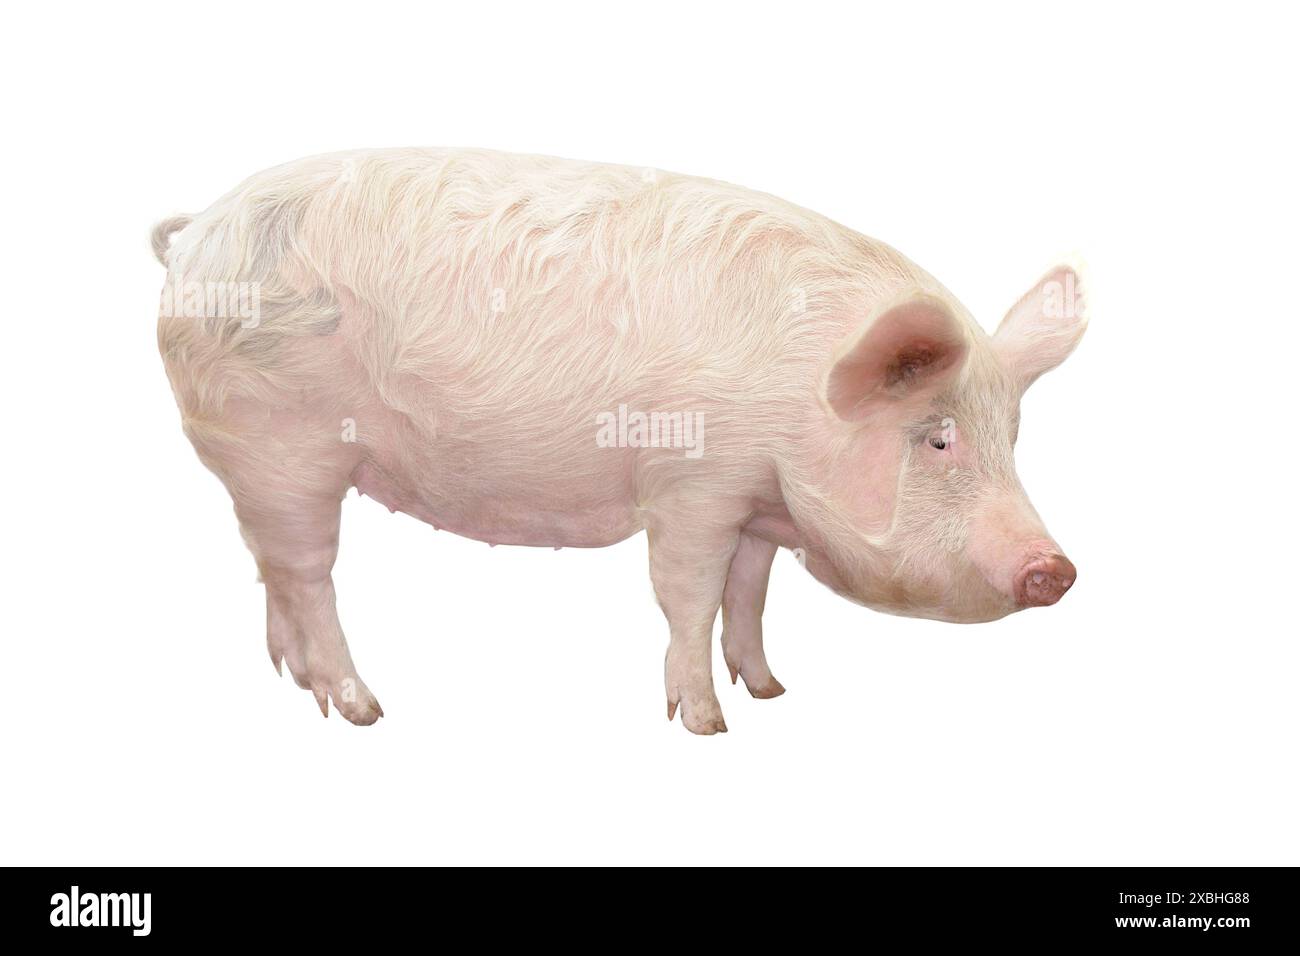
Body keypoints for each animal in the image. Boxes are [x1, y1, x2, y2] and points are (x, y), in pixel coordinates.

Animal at [153, 148, 1086, 733]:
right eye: (937, 440)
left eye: (1013, 437)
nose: (1056, 568)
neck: (799, 392)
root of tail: (196, 234)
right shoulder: (693, 487)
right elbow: (690, 597)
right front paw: (708, 725)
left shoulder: (754, 501)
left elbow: (750, 594)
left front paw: (772, 691)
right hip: (282, 446)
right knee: (311, 576)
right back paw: (362, 708)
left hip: (260, 469)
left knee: (274, 570)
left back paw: (294, 680)